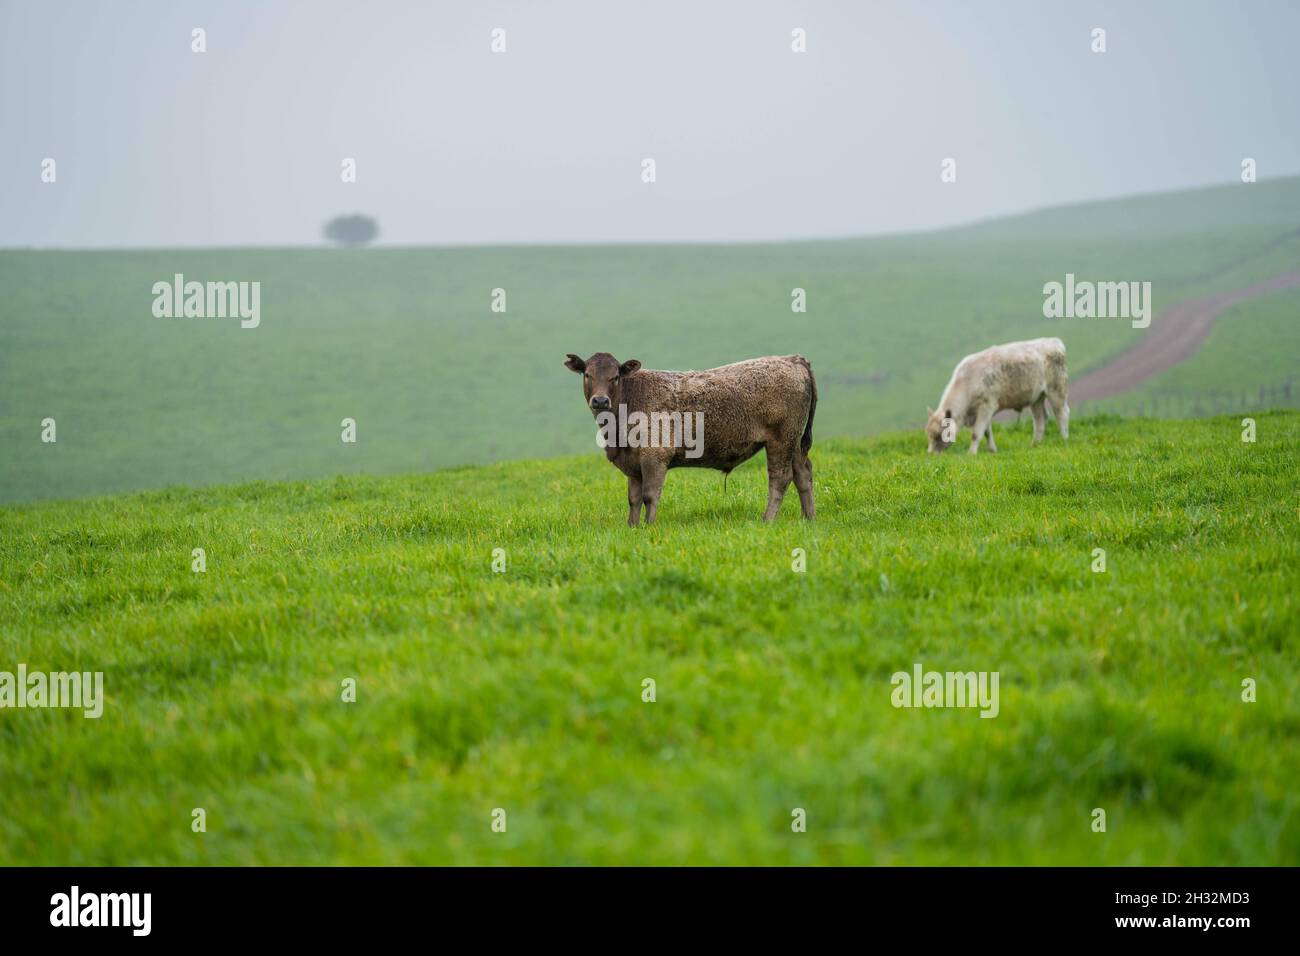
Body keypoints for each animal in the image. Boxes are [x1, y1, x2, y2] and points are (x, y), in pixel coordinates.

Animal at [564, 353, 817, 525]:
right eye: (587, 375)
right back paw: (808, 518)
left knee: (780, 478)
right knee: (803, 474)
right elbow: (633, 499)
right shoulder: (633, 463)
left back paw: (768, 519)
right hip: (794, 442)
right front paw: (632, 527)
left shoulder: (654, 456)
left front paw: (648, 526)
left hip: (781, 438)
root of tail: (793, 359)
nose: (600, 400)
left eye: (615, 377)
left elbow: (649, 496)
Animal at [925, 337, 1069, 454]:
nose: (930, 454)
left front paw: (971, 453)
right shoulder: (984, 410)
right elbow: (987, 432)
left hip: (1056, 389)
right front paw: (992, 450)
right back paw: (1035, 444)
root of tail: (1054, 341)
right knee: (1040, 419)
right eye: (929, 434)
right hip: (1036, 397)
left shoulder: (986, 406)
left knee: (1061, 413)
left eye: (939, 434)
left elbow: (976, 433)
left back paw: (1064, 439)